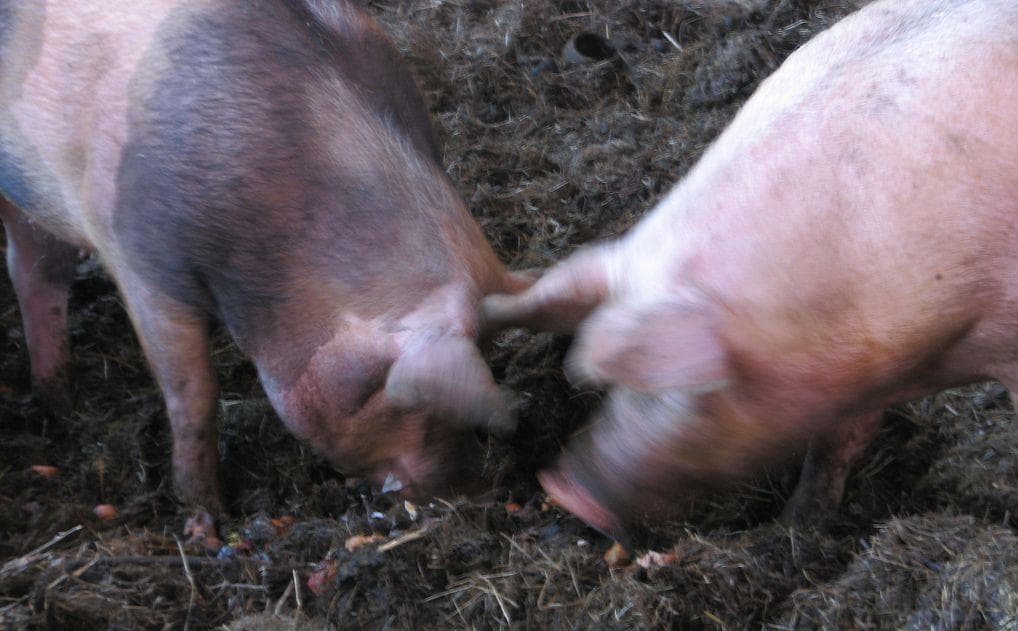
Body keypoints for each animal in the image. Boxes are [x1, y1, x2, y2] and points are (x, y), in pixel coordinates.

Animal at [0, 0, 527, 514]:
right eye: (397, 392)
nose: (473, 492)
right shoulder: (140, 261)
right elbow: (193, 394)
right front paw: (207, 515)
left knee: (35, 270)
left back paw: (58, 404)